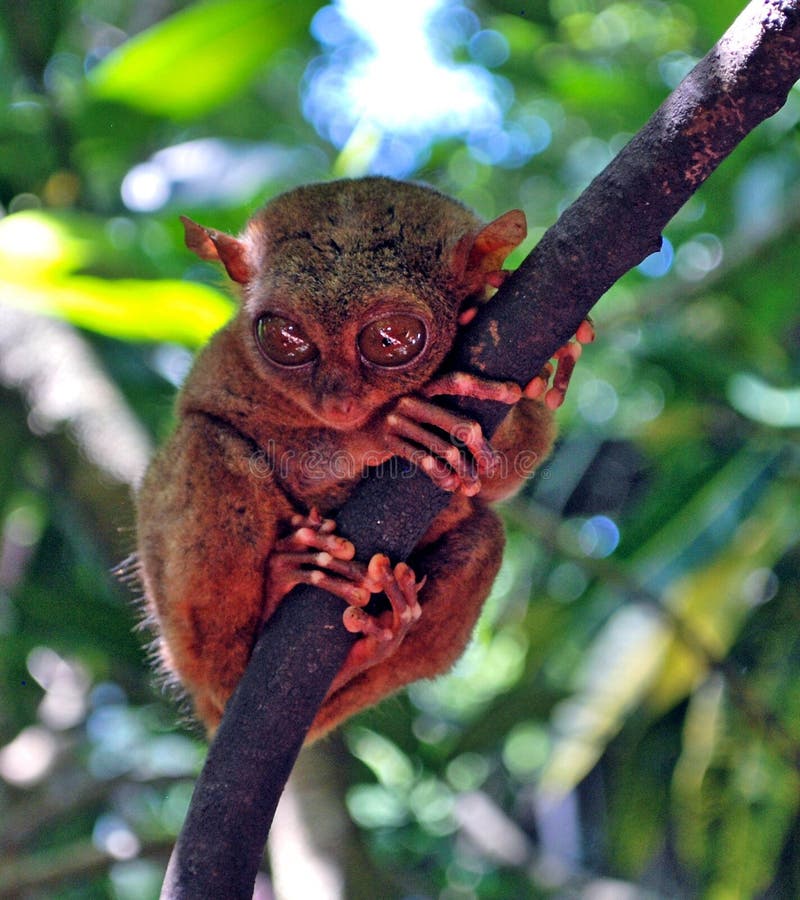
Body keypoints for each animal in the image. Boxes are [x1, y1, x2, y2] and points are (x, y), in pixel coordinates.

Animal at [135, 176, 591, 741]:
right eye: (285, 338)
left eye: (391, 339)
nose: (338, 403)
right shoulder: (225, 366)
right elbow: (240, 426)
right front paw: (390, 427)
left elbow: (504, 473)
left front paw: (551, 353)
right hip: (184, 640)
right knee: (208, 443)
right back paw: (279, 590)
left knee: (485, 535)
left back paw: (379, 635)